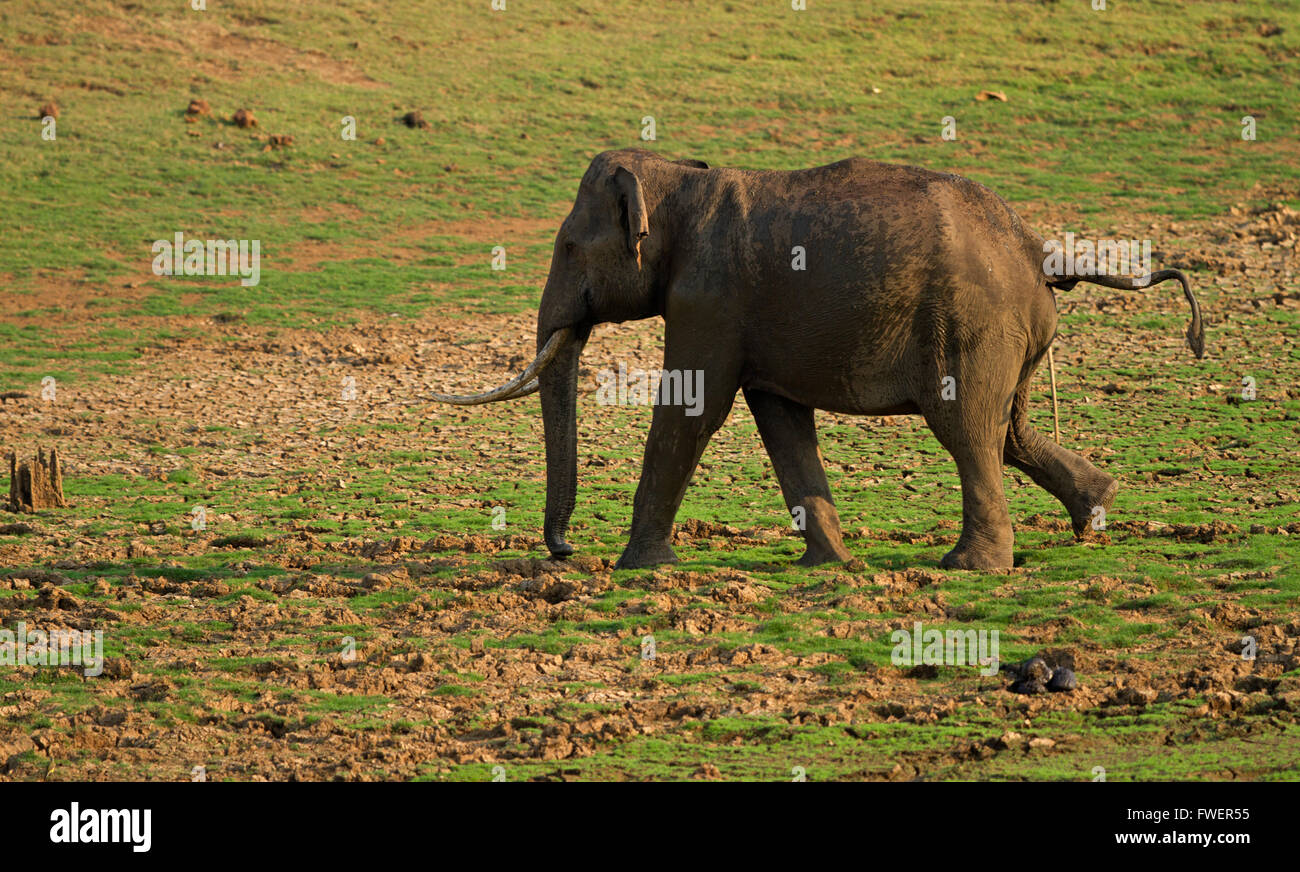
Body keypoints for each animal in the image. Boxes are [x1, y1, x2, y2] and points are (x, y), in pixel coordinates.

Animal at [433, 148, 1204, 571]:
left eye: (568, 248)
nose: (564, 552)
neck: (683, 178)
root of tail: (1038, 250)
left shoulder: (710, 297)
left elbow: (690, 411)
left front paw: (637, 568)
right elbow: (780, 420)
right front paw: (829, 565)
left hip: (971, 326)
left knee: (968, 432)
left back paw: (973, 565)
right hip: (1006, 334)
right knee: (1008, 430)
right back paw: (1096, 511)